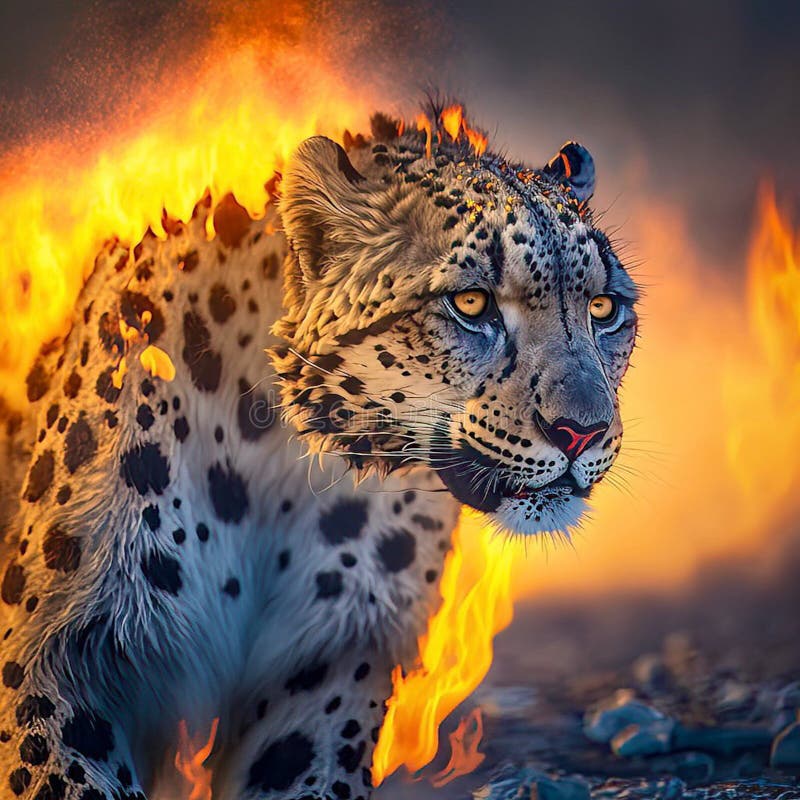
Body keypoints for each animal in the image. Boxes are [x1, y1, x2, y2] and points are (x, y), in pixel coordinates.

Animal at [0, 105, 638, 799]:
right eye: (471, 303)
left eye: (604, 308)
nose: (582, 431)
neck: (270, 456)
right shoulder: (55, 656)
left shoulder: (328, 665)